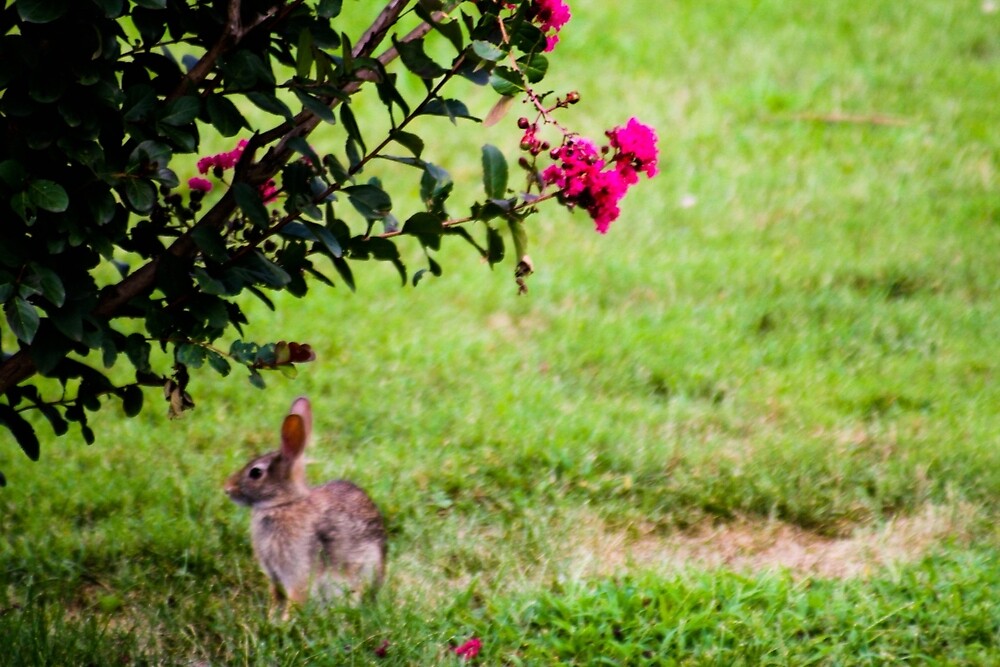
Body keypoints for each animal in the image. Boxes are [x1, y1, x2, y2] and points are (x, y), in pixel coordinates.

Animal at [224, 396, 387, 618]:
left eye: (255, 473)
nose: (227, 488)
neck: (285, 504)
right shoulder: (274, 576)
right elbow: (276, 597)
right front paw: (271, 618)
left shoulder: (298, 571)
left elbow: (295, 600)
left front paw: (284, 622)